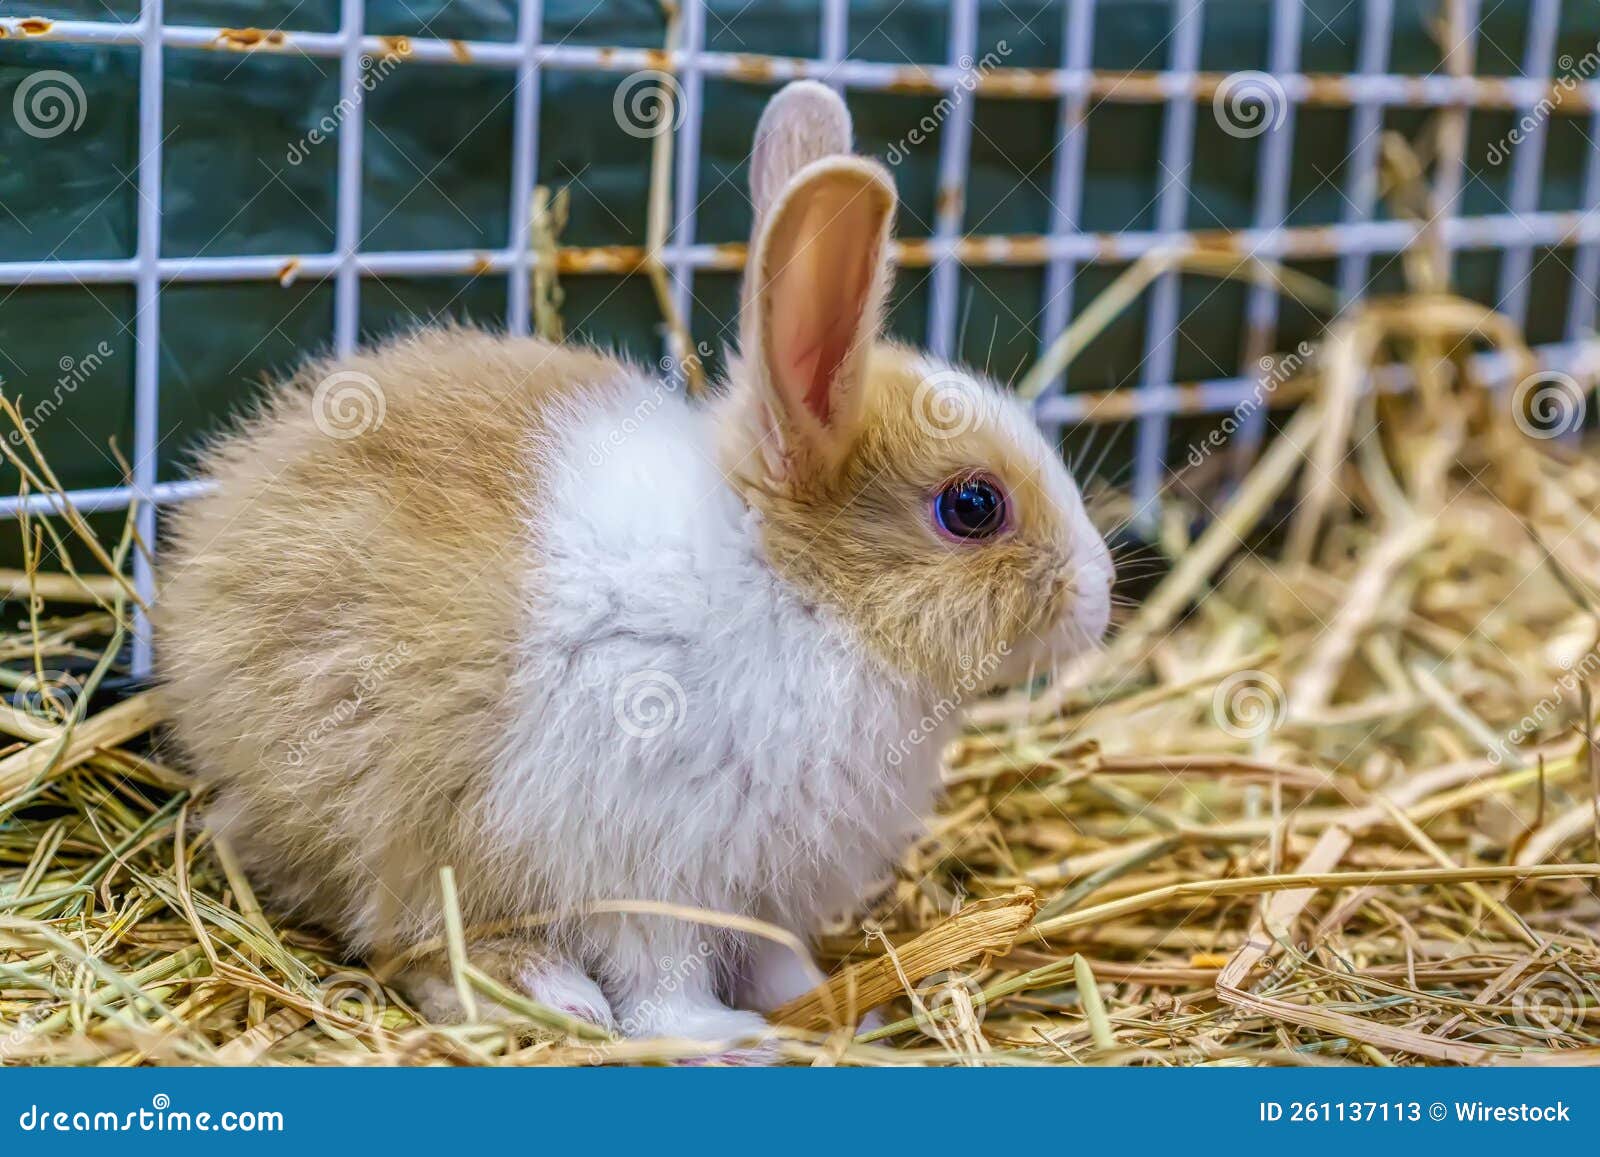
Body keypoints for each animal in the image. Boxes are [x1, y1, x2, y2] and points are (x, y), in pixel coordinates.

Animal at [153, 80, 1113, 1058]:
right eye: (973, 505)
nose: (1101, 592)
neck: (796, 591)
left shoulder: (759, 892)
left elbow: (774, 957)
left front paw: (840, 1005)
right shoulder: (650, 869)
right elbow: (662, 980)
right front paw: (732, 1038)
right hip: (404, 823)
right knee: (413, 940)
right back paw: (559, 997)